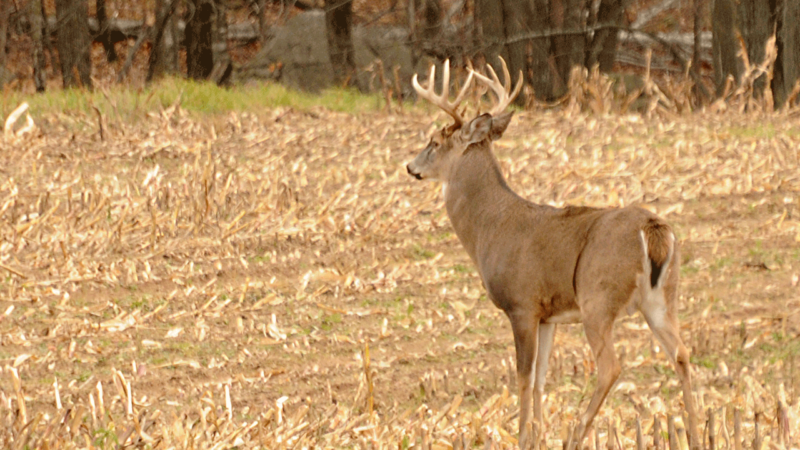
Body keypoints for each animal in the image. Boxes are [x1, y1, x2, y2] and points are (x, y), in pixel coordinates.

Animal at [405, 58, 701, 450]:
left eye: (435, 142)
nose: (411, 166)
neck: (489, 227)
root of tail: (654, 228)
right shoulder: (548, 315)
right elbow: (542, 377)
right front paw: (539, 434)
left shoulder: (522, 304)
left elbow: (523, 376)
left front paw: (523, 436)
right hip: (664, 297)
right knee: (681, 353)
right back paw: (695, 433)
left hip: (597, 297)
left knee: (610, 366)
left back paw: (577, 433)